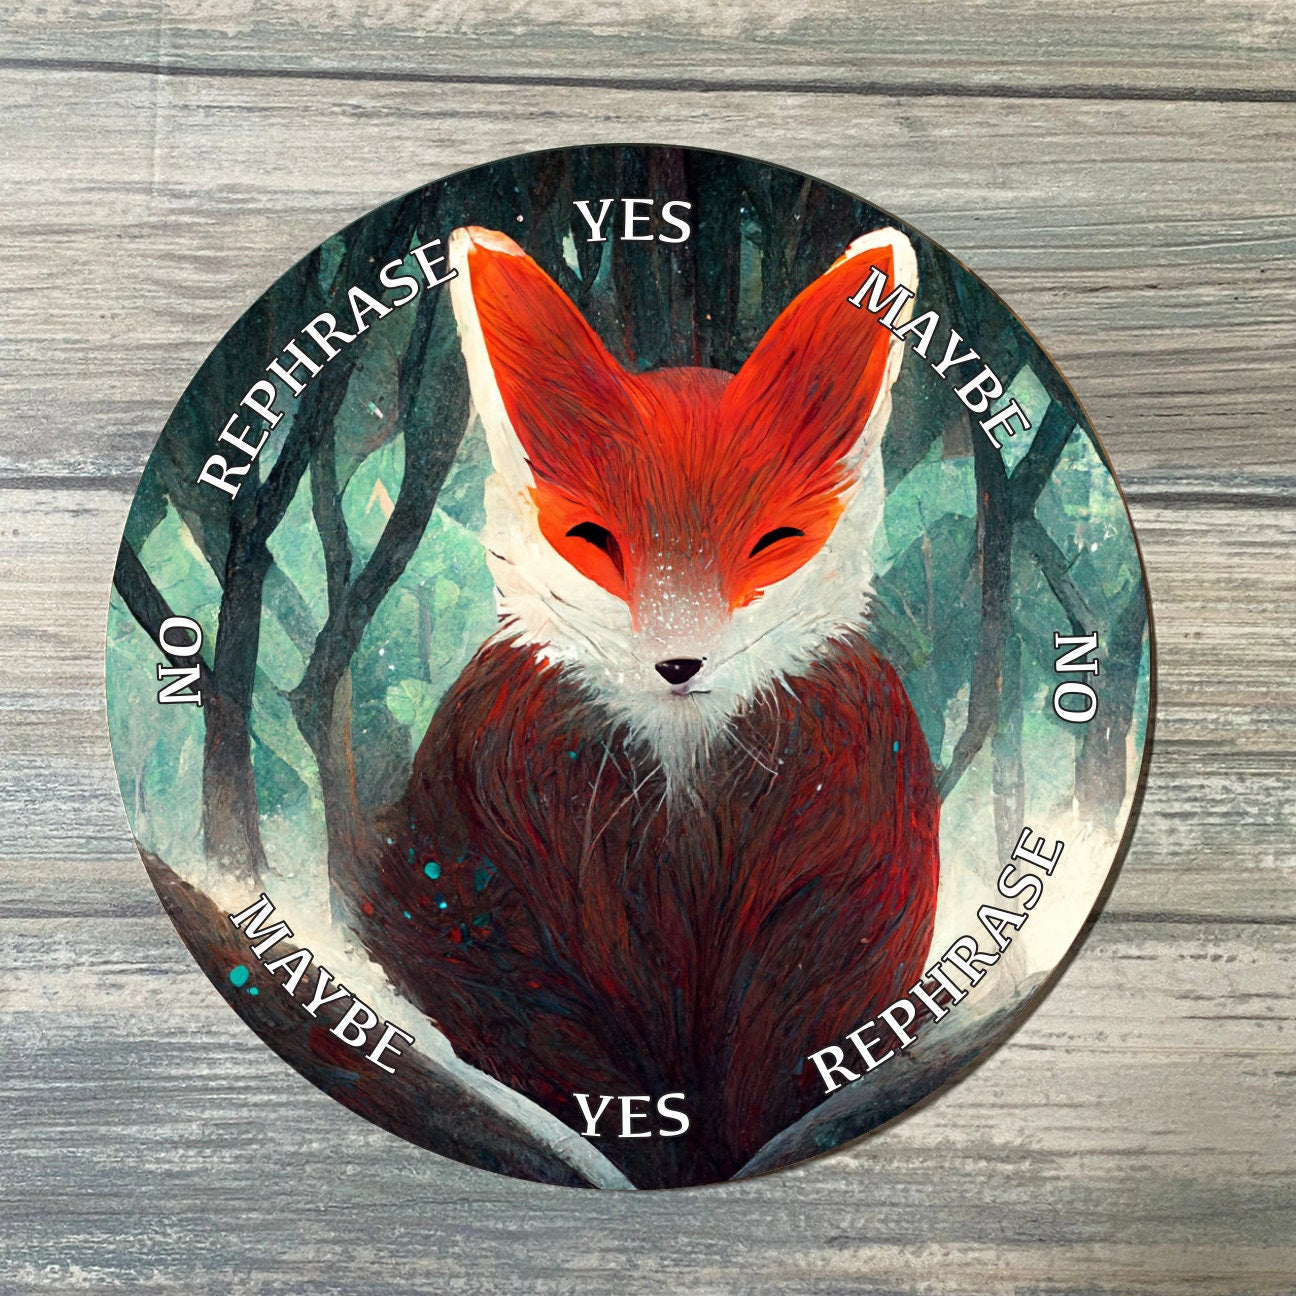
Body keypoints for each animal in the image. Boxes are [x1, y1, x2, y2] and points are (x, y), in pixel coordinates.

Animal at [353, 224, 941, 1188]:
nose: (678, 662)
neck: (682, 792)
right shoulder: (493, 897)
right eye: (594, 538)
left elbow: (782, 1057)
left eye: (774, 540)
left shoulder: (840, 891)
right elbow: (568, 1053)